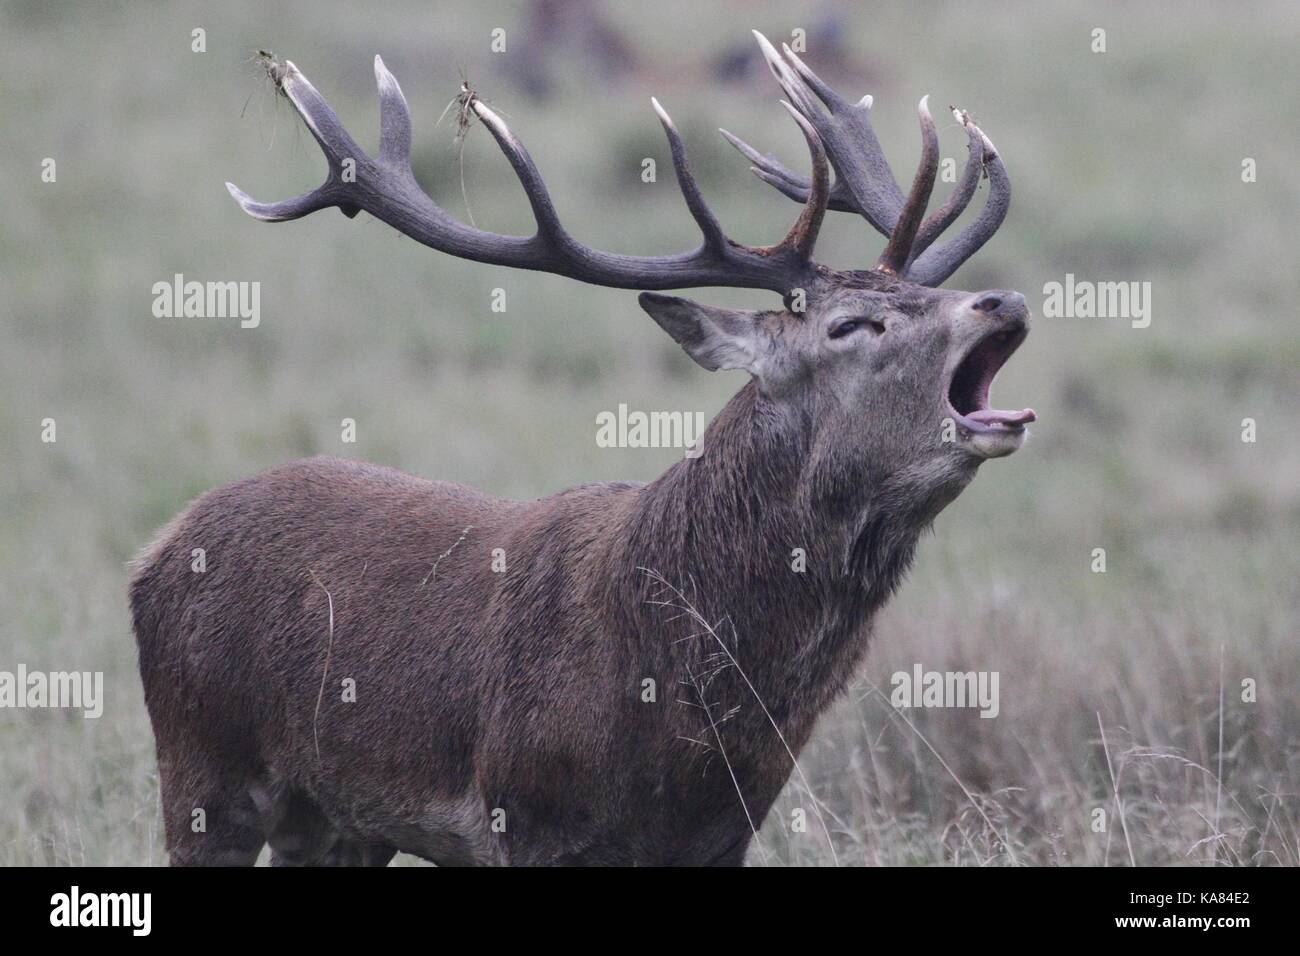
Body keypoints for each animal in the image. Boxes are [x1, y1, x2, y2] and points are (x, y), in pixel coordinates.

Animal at [130, 32, 1034, 866]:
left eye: (923, 292)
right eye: (850, 325)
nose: (1005, 300)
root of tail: (159, 547)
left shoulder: (726, 837)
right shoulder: (525, 817)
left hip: (334, 822)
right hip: (200, 761)